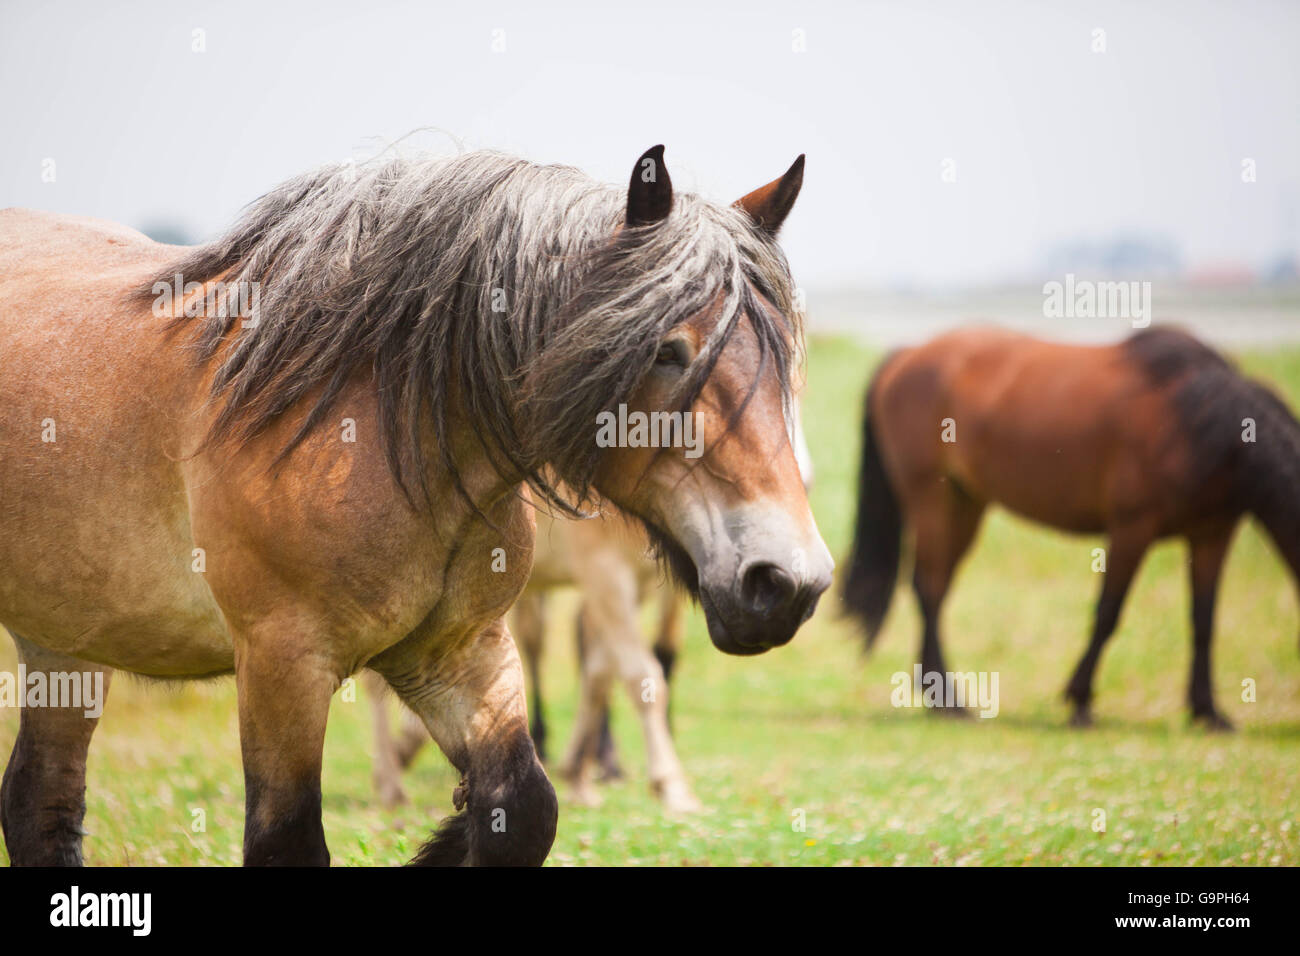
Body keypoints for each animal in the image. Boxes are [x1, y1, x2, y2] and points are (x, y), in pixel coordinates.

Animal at [368, 408, 815, 814]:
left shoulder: (633, 585)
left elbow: (599, 676)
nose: (803, 479)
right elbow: (640, 676)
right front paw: (671, 786)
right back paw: (391, 784)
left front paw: (579, 778)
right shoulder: (605, 573)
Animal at [842, 326, 1300, 728]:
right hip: (932, 499)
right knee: (929, 588)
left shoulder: (1212, 534)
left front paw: (1208, 711)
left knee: (935, 588)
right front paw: (1080, 701)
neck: (1197, 423)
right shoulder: (1131, 527)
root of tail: (906, 355)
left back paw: (938, 696)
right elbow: (1107, 613)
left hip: (965, 502)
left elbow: (1203, 621)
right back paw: (949, 702)